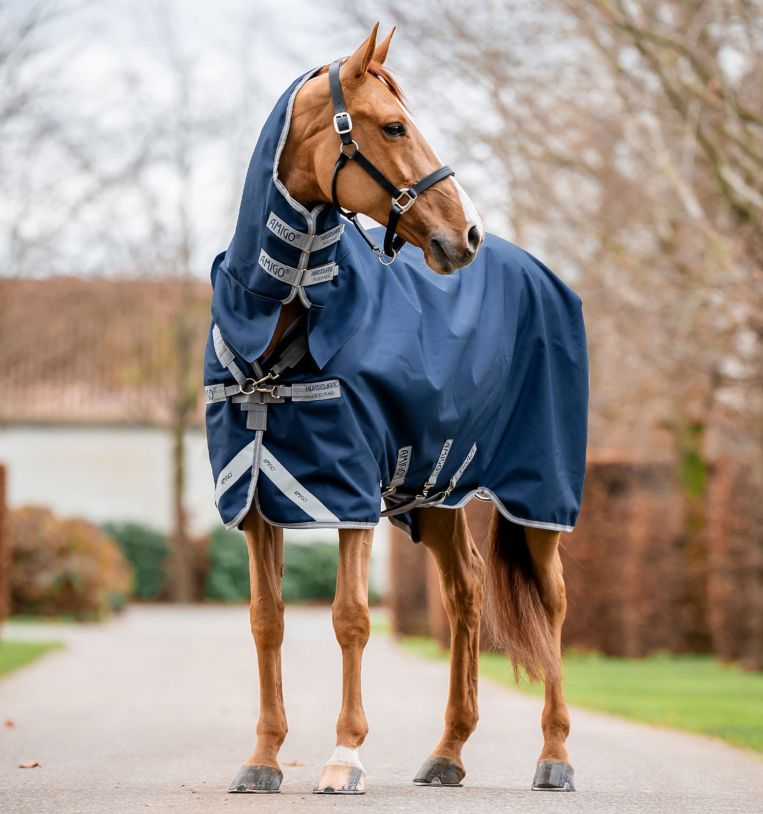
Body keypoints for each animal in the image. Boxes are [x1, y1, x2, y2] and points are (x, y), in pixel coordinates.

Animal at [204, 23, 587, 796]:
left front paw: (343, 756)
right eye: (393, 126)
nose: (466, 236)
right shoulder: (256, 497)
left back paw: (555, 755)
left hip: (541, 494)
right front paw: (263, 759)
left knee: (554, 602)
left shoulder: (349, 491)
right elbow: (266, 620)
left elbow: (351, 617)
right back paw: (448, 752)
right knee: (467, 592)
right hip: (434, 493)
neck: (285, 323)